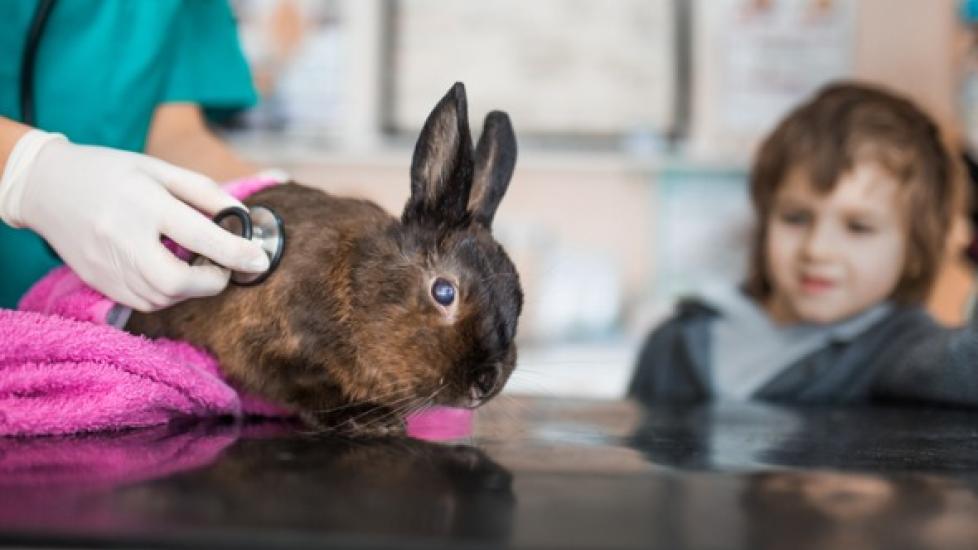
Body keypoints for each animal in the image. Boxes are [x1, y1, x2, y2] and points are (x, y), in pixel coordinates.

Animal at [127, 82, 524, 436]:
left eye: (518, 299)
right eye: (444, 292)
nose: (484, 384)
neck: (356, 284)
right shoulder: (262, 345)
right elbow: (306, 386)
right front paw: (371, 419)